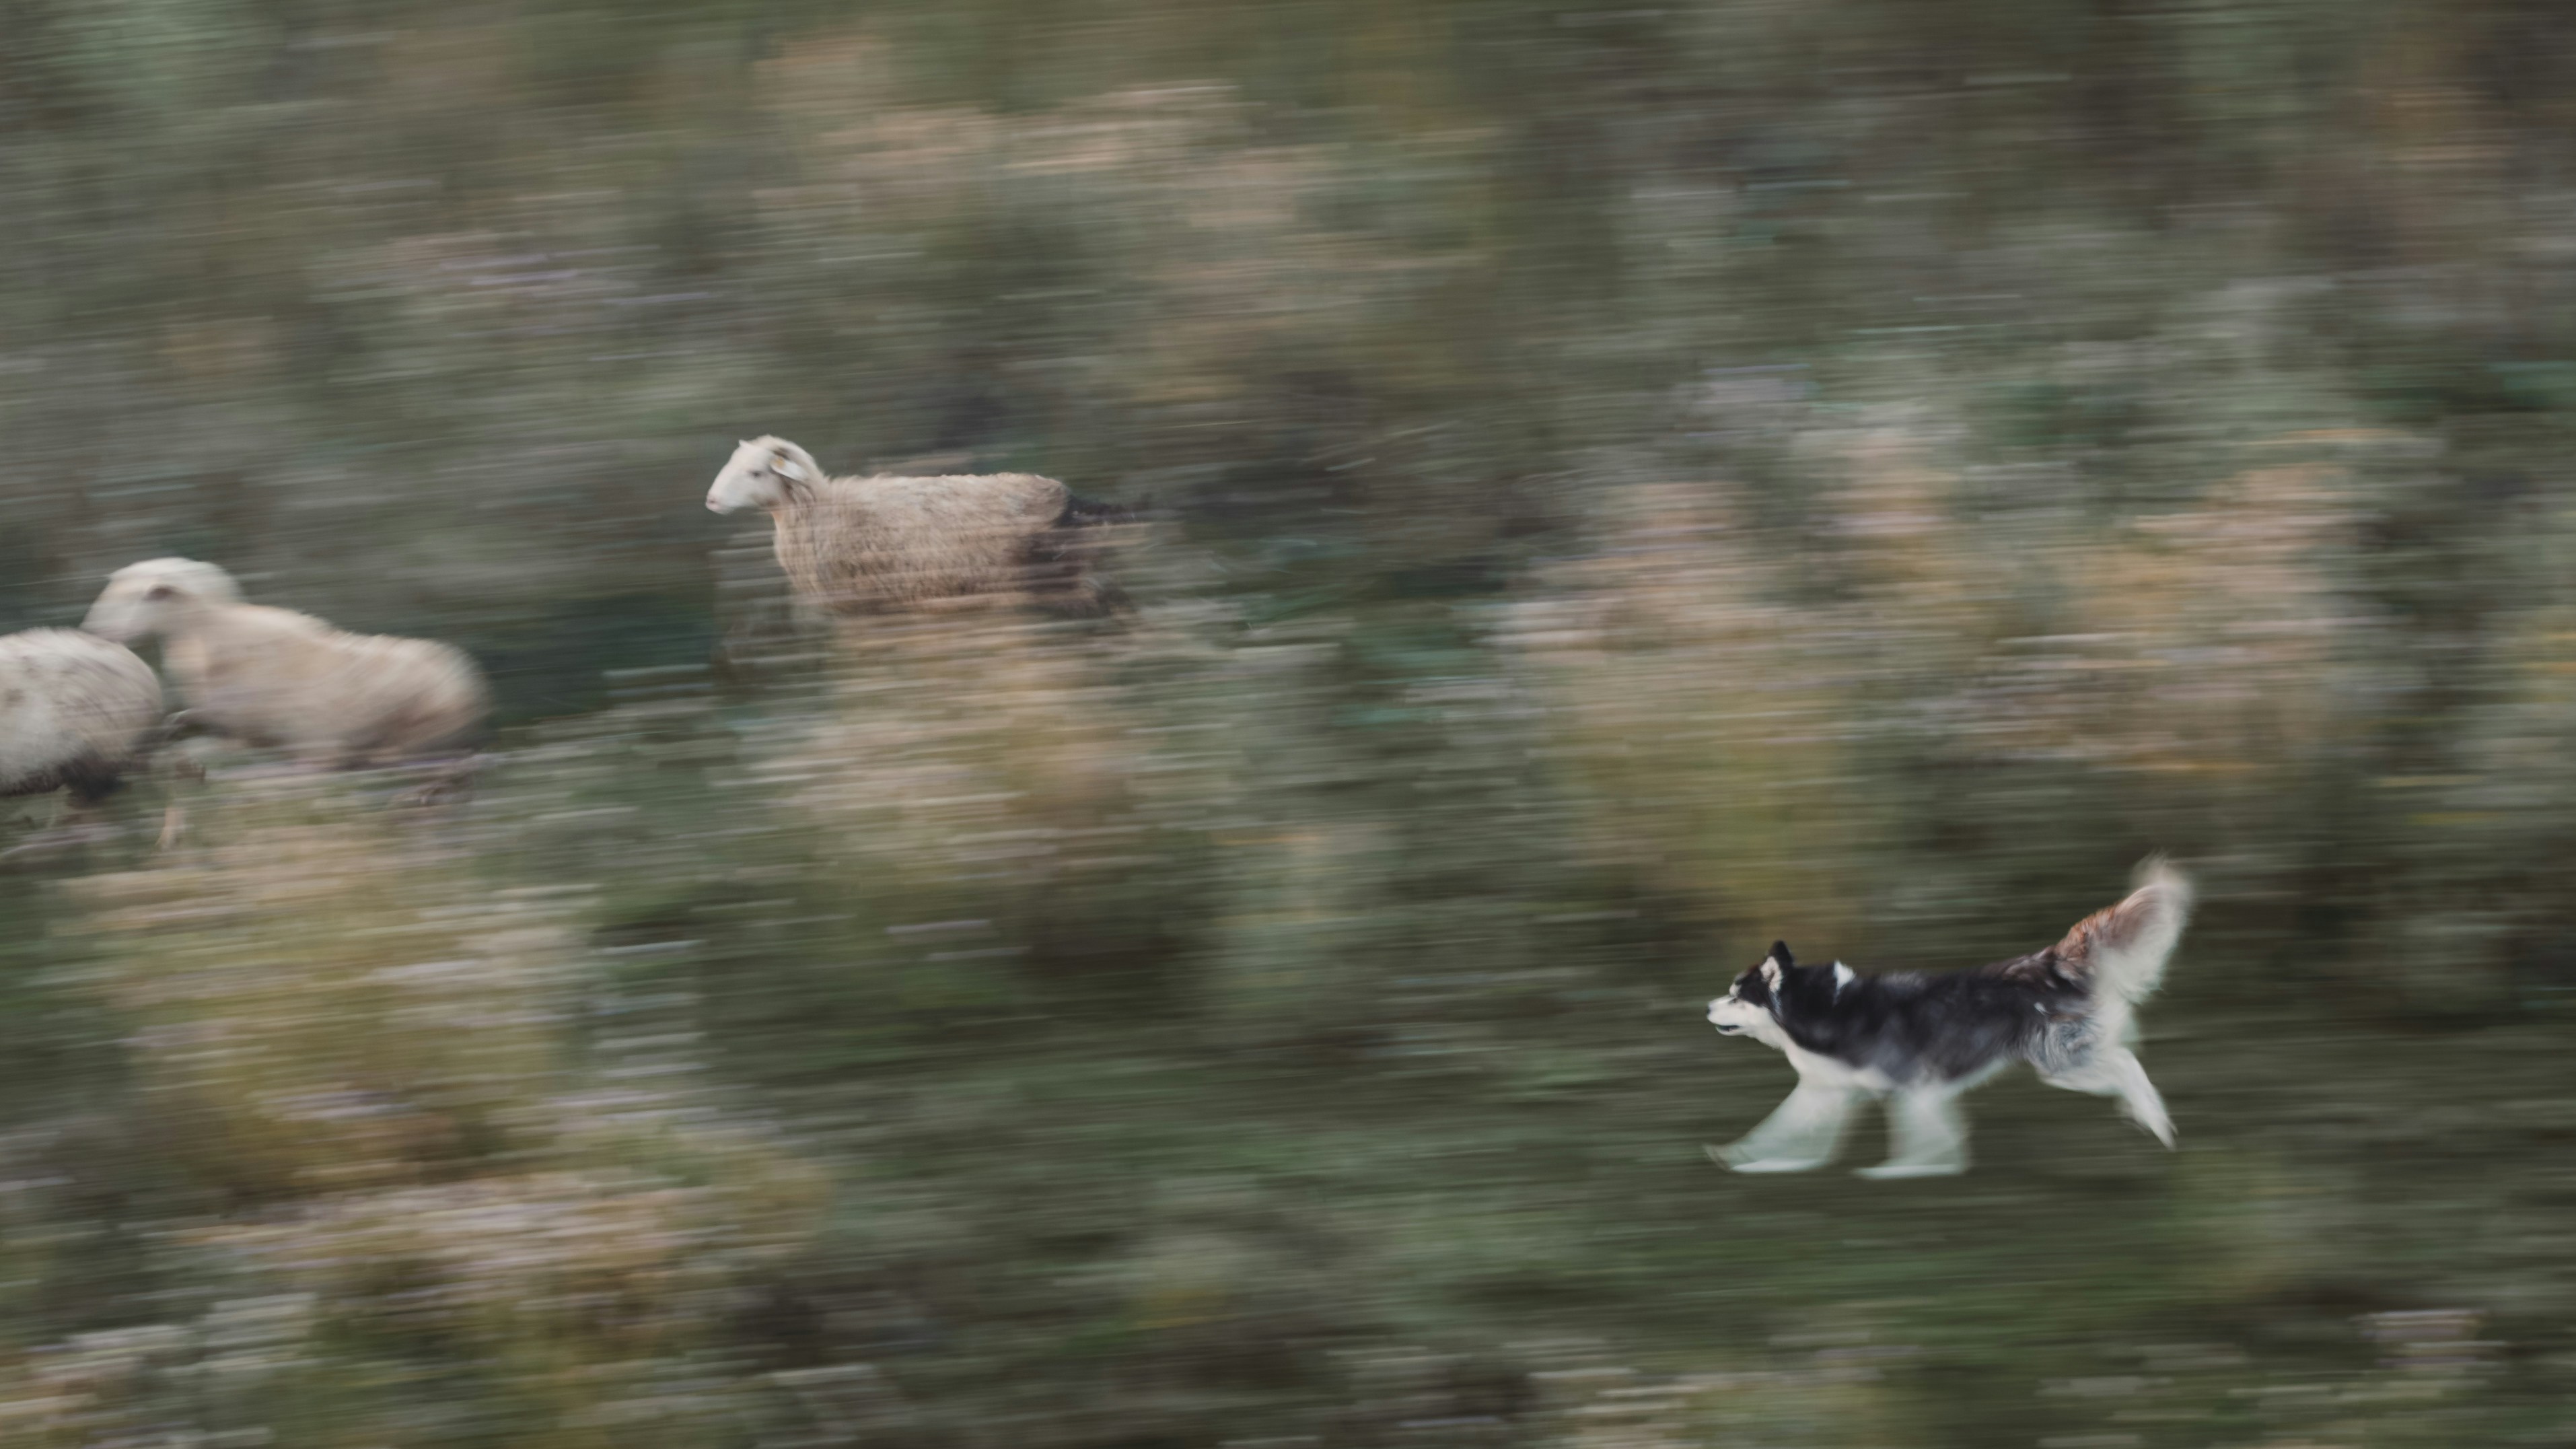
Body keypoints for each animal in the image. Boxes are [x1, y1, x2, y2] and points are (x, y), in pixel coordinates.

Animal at [81, 559, 490, 788]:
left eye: (135, 598)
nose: (92, 631)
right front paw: (174, 731)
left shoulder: (248, 727)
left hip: (387, 733)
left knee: (336, 763)